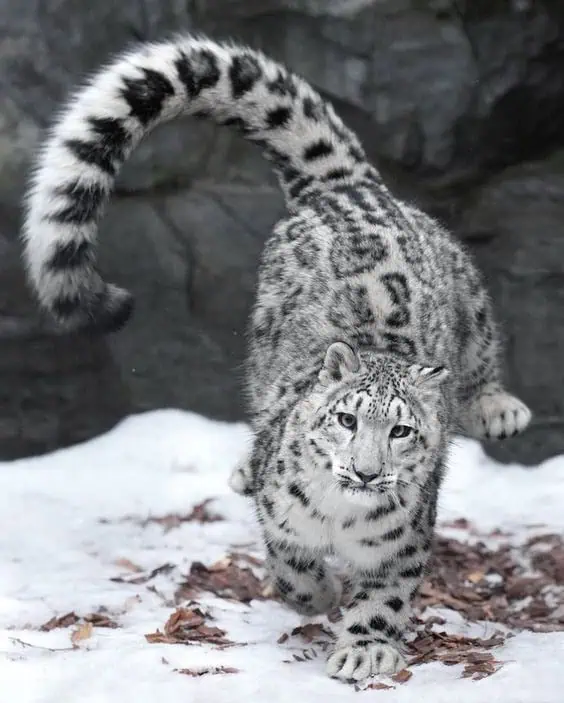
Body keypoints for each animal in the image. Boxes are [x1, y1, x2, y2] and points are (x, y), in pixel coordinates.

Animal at [20, 34, 531, 681]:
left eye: (401, 431)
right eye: (346, 419)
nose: (366, 471)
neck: (342, 516)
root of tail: (347, 187)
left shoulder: (404, 541)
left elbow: (385, 595)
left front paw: (364, 647)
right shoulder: (281, 519)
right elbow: (290, 564)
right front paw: (319, 595)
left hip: (469, 297)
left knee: (482, 347)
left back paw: (500, 409)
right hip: (264, 342)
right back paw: (247, 469)